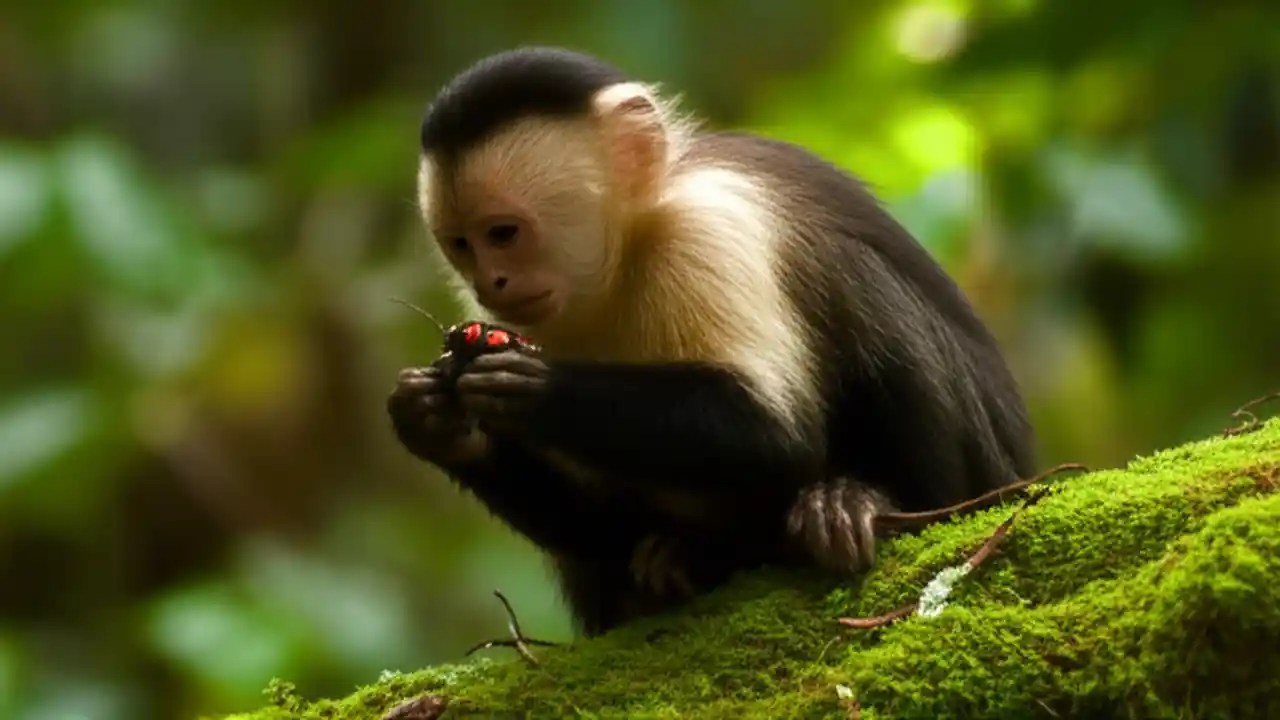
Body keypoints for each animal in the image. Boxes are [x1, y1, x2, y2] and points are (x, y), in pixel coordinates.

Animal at [387, 46, 1036, 637]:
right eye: (462, 245)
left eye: (504, 234)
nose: (490, 281)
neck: (629, 252)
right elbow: (595, 530)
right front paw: (437, 424)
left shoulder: (708, 229)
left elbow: (780, 436)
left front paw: (530, 389)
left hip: (984, 484)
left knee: (859, 283)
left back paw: (863, 506)